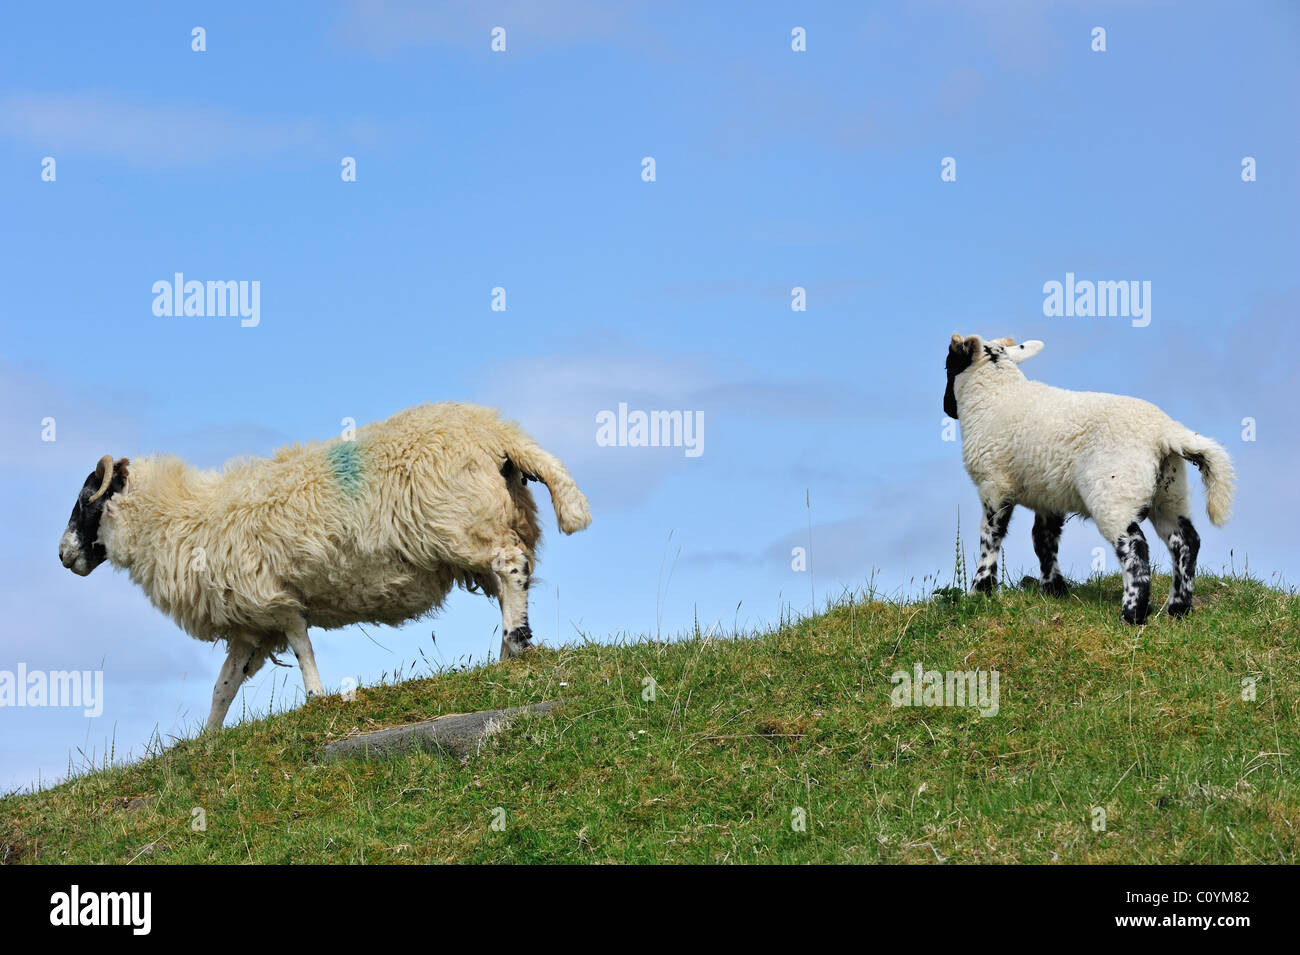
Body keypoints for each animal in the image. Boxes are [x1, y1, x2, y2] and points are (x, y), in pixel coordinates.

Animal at [57, 402, 591, 731]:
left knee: (512, 567)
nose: (63, 556)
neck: (181, 516)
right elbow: (223, 686)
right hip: (494, 522)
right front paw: (209, 737)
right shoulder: (250, 623)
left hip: (465, 527)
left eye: (85, 500)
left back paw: (517, 645)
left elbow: (302, 648)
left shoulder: (274, 599)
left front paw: (316, 698)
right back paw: (505, 652)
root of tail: (497, 432)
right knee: (508, 582)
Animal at [943, 333, 1234, 624]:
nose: (948, 409)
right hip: (1170, 493)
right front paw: (1053, 589)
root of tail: (1165, 432)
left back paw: (1132, 614)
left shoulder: (994, 484)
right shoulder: (1048, 496)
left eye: (949, 365)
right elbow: (1044, 540)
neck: (994, 397)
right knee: (1185, 542)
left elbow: (991, 536)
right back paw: (1178, 608)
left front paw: (980, 589)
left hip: (1115, 492)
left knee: (1136, 547)